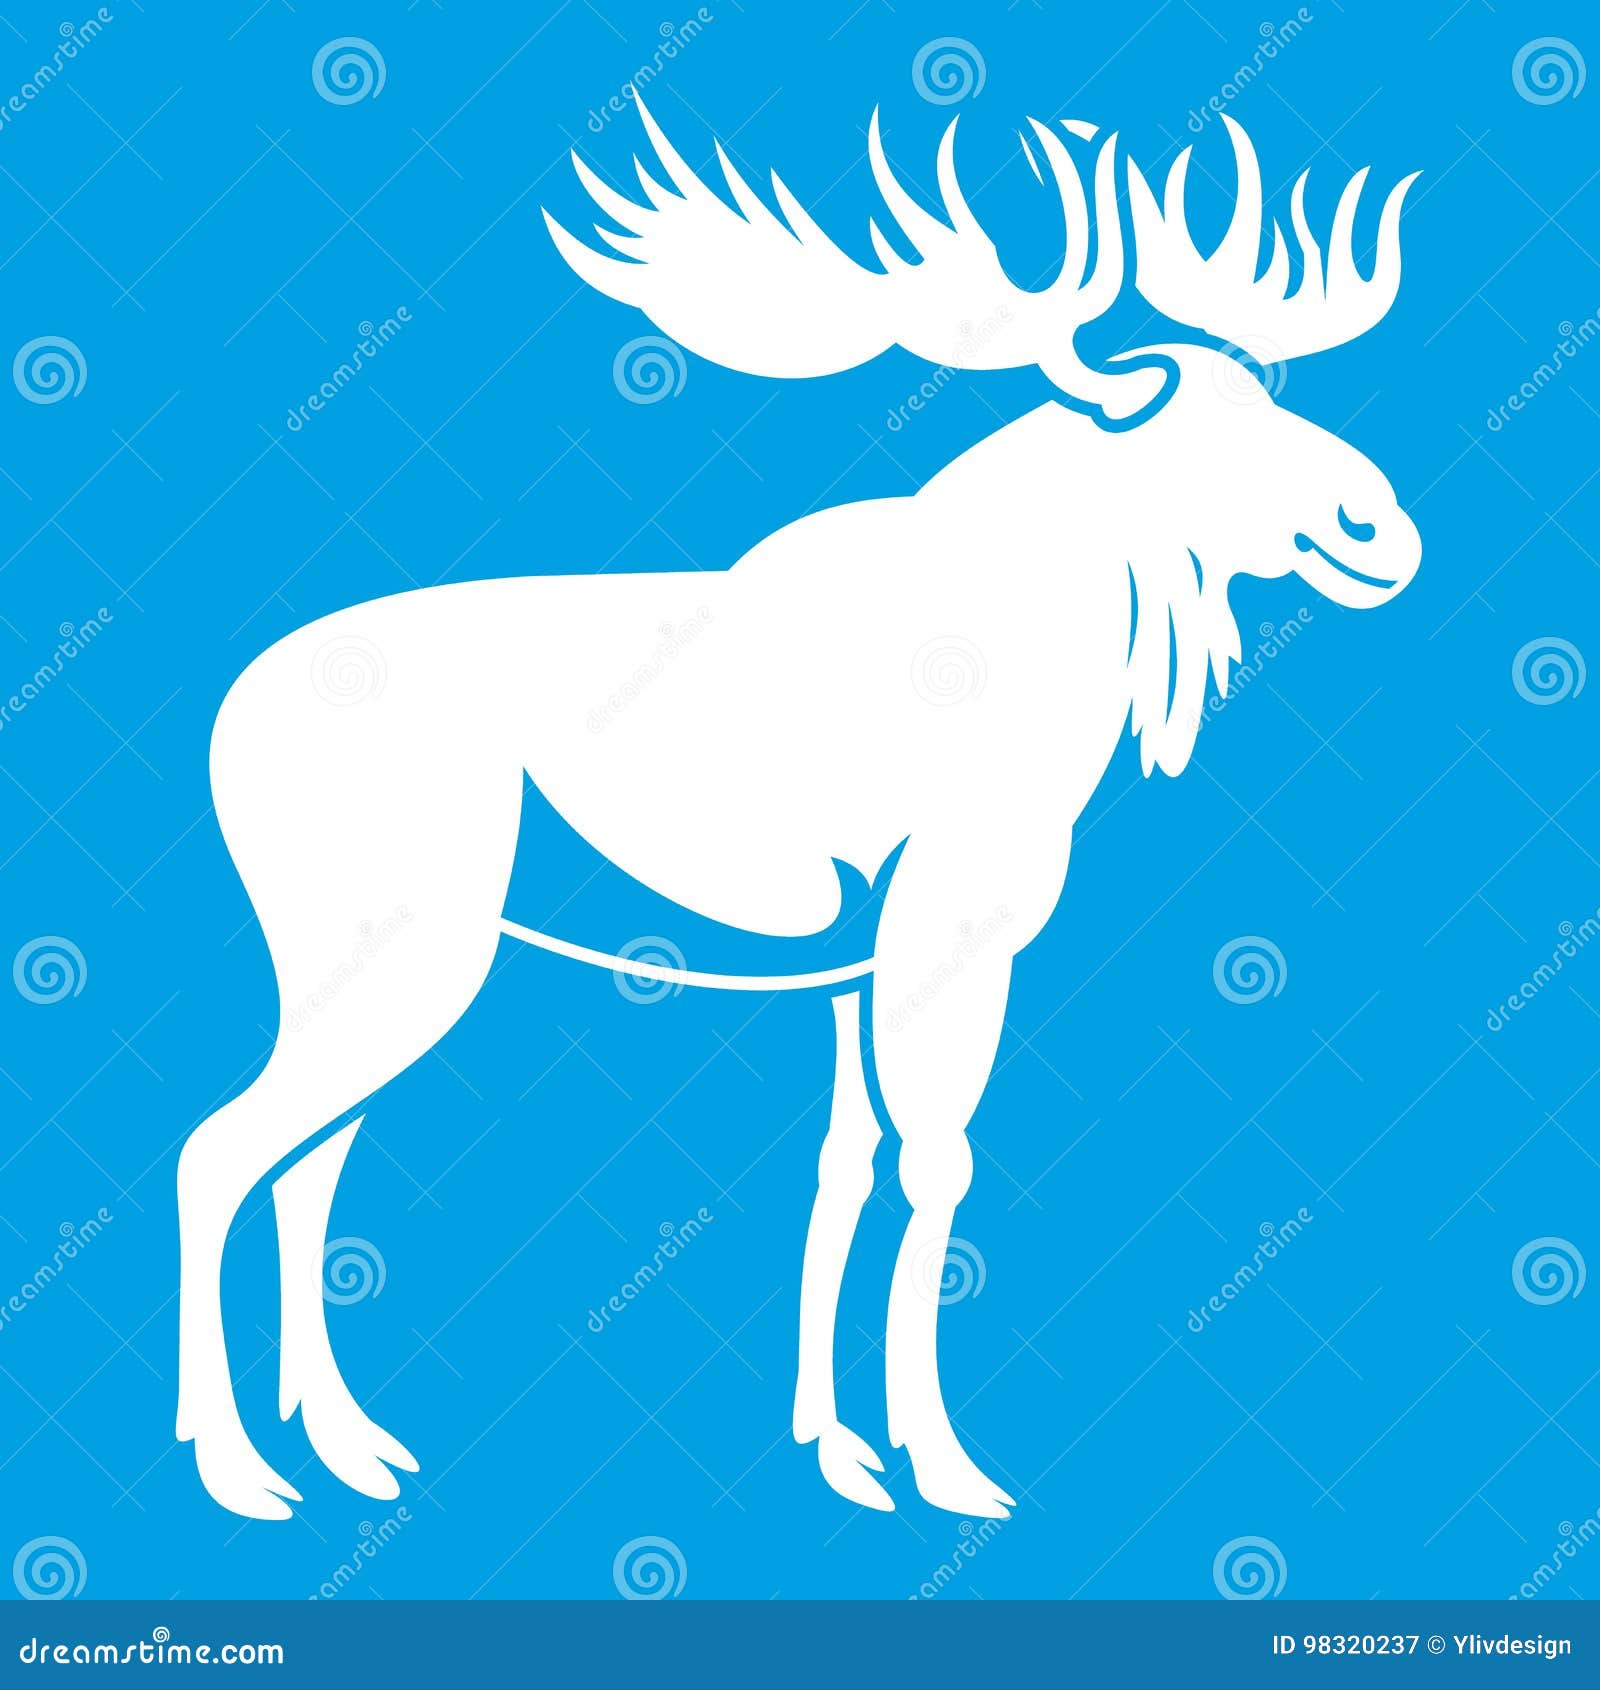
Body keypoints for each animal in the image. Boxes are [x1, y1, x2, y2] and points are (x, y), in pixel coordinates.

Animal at [176, 96, 1419, 1523]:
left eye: (1266, 396)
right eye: (1185, 431)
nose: (1380, 527)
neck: (1056, 628)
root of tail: (224, 727)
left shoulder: (847, 965)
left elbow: (844, 1163)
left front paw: (838, 1447)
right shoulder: (954, 921)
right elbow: (939, 1161)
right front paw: (942, 1460)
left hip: (371, 971)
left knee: (308, 1159)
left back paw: (342, 1442)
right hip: (403, 959)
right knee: (223, 1148)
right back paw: (235, 1465)